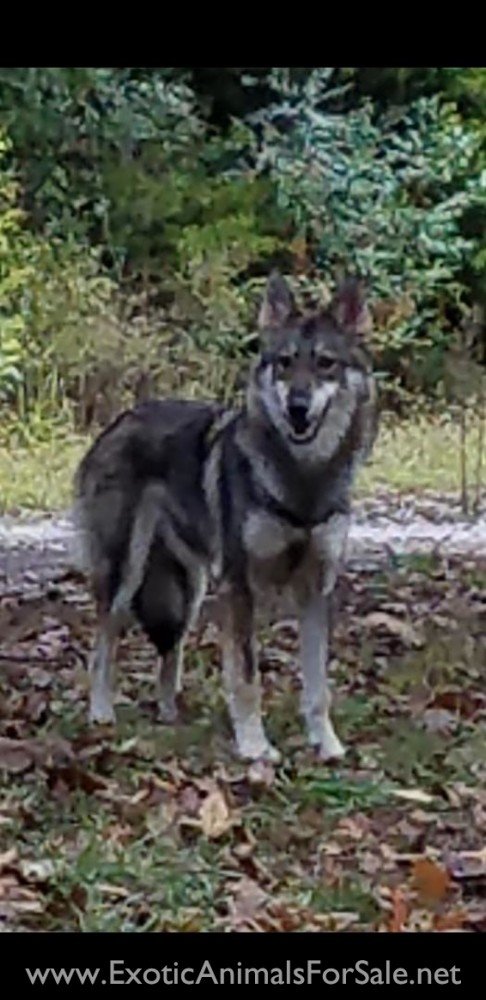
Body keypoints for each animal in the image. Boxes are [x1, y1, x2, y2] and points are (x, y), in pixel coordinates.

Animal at [72, 271, 378, 763]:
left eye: (326, 364)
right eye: (285, 363)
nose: (297, 407)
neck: (302, 479)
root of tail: (117, 422)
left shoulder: (317, 590)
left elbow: (318, 688)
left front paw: (327, 745)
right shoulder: (239, 589)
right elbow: (247, 678)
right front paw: (255, 747)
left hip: (191, 589)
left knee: (170, 655)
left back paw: (170, 715)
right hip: (126, 576)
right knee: (105, 643)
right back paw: (101, 715)